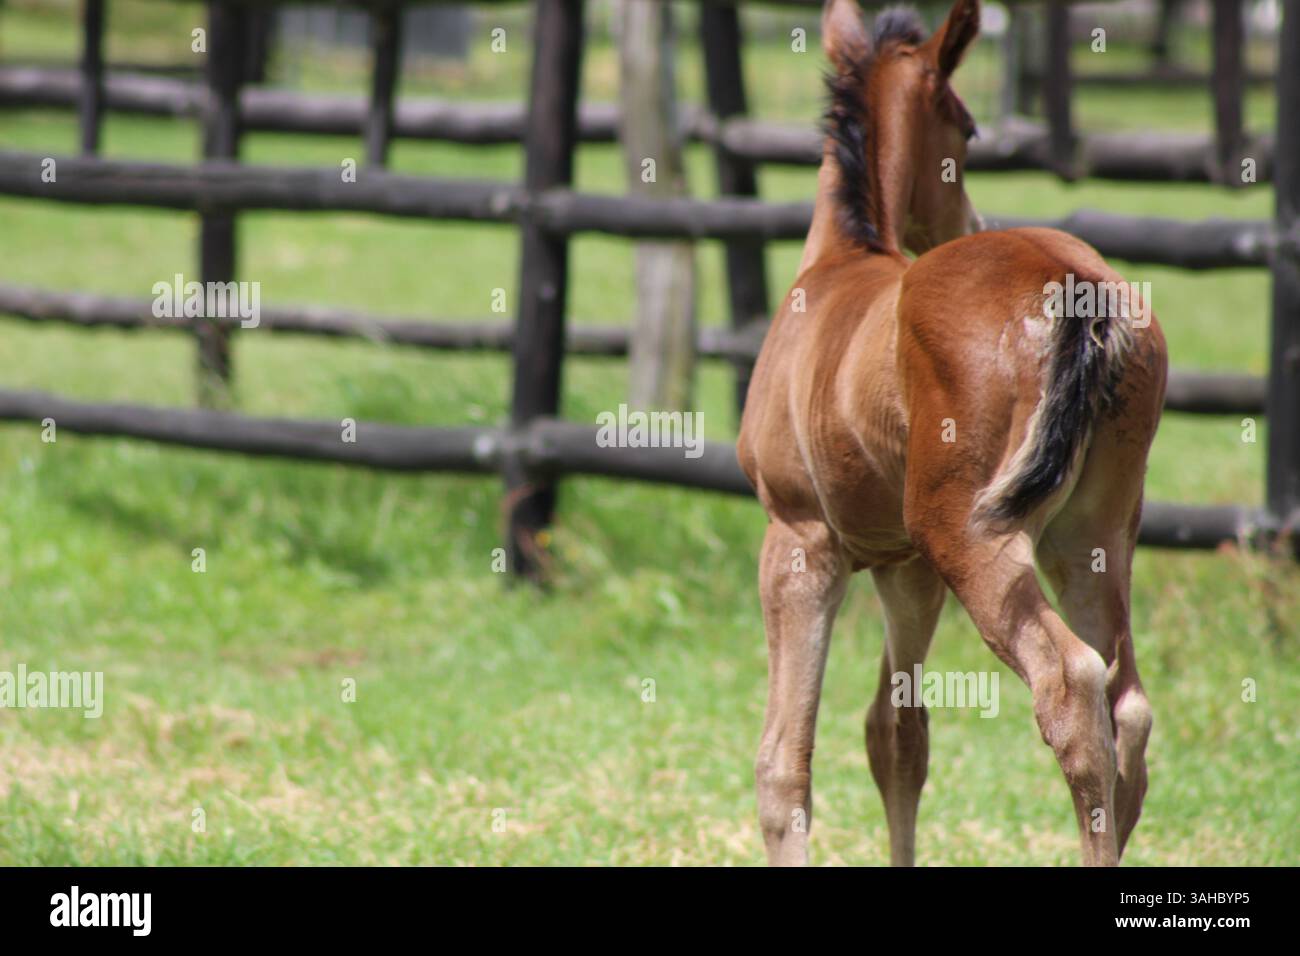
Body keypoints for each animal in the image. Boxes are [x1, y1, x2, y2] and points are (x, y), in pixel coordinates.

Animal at [736, 0, 1168, 866]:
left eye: (965, 130)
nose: (966, 217)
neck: (838, 261)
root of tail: (1081, 287)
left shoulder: (798, 540)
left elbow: (783, 763)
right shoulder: (905, 566)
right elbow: (898, 738)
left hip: (972, 534)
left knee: (1071, 685)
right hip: (1091, 534)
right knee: (1126, 703)